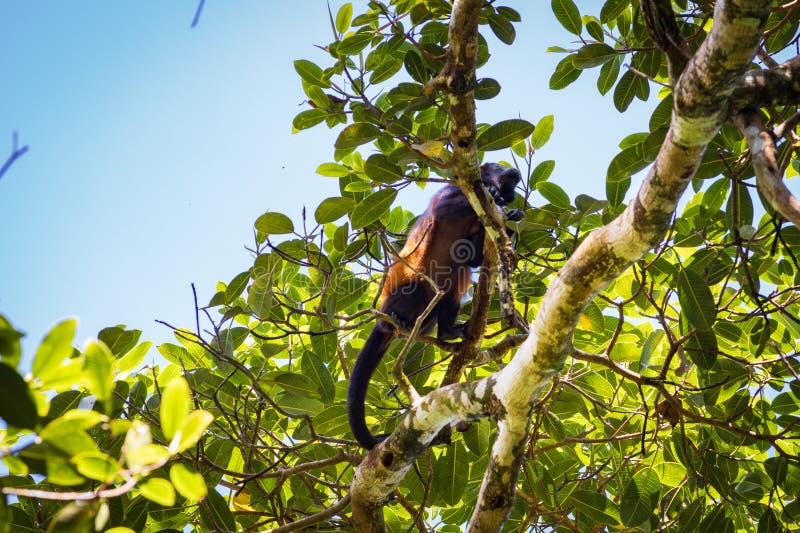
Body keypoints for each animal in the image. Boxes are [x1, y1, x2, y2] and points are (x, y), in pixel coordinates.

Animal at [347, 162, 524, 449]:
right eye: (499, 166)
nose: (513, 179)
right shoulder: (450, 191)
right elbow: (444, 210)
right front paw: (493, 192)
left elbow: (474, 259)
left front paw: (514, 217)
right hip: (402, 297)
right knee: (419, 289)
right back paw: (401, 320)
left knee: (453, 286)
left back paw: (449, 331)